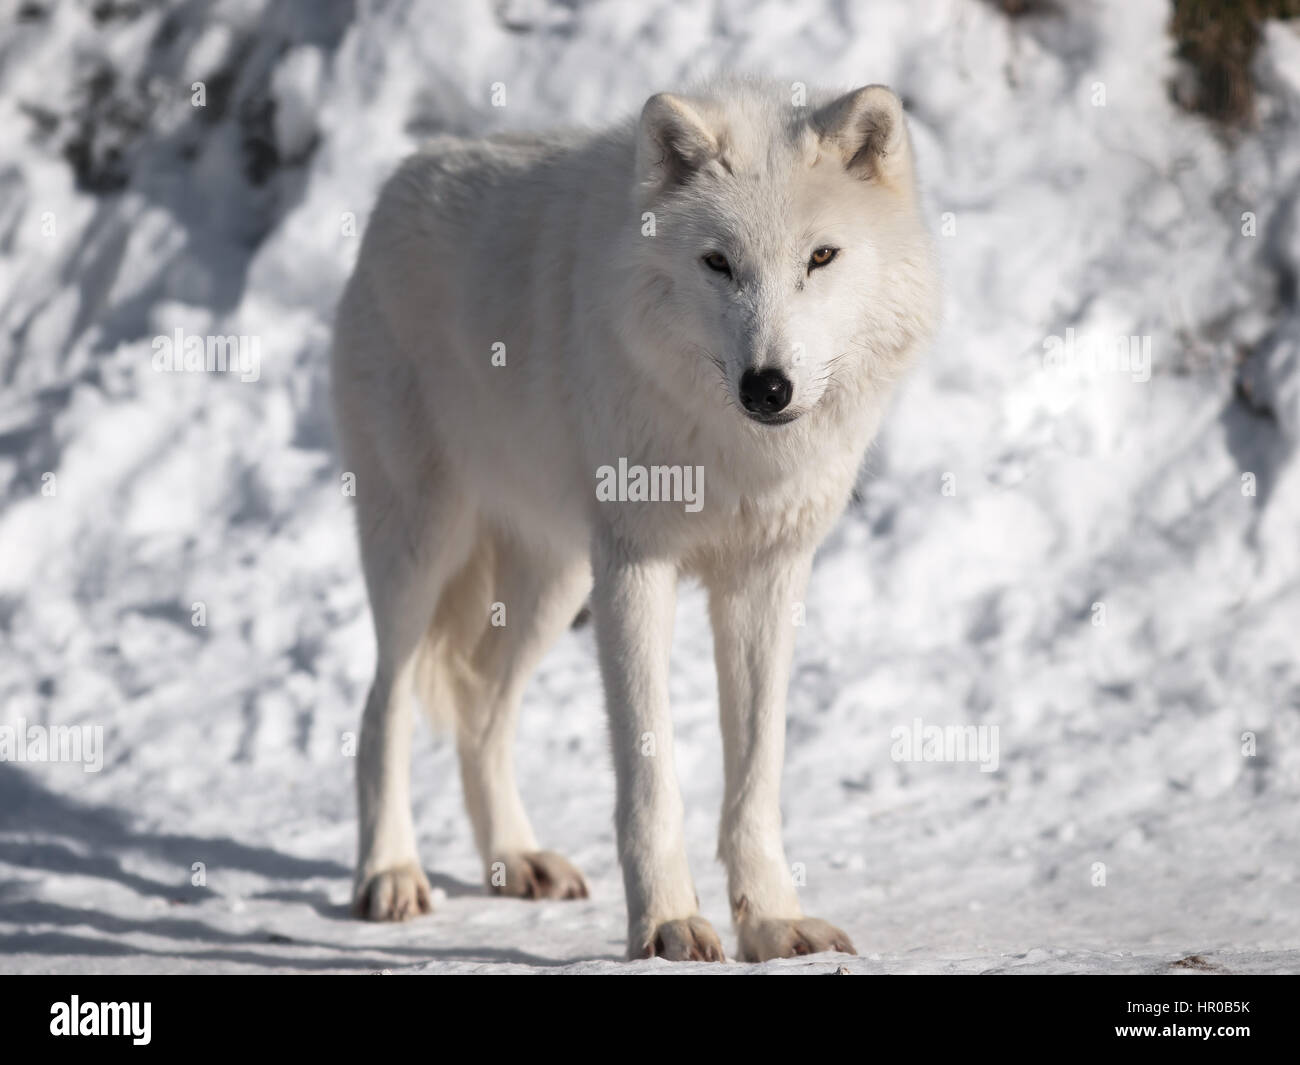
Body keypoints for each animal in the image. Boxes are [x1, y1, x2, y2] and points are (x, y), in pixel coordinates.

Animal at [331, 75, 940, 962]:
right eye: (718, 263)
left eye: (821, 258)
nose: (767, 386)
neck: (733, 452)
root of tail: (397, 183)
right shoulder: (634, 567)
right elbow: (652, 779)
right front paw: (667, 924)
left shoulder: (765, 575)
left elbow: (757, 778)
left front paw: (773, 921)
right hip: (422, 550)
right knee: (385, 709)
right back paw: (389, 872)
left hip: (552, 581)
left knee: (482, 714)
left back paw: (514, 859)